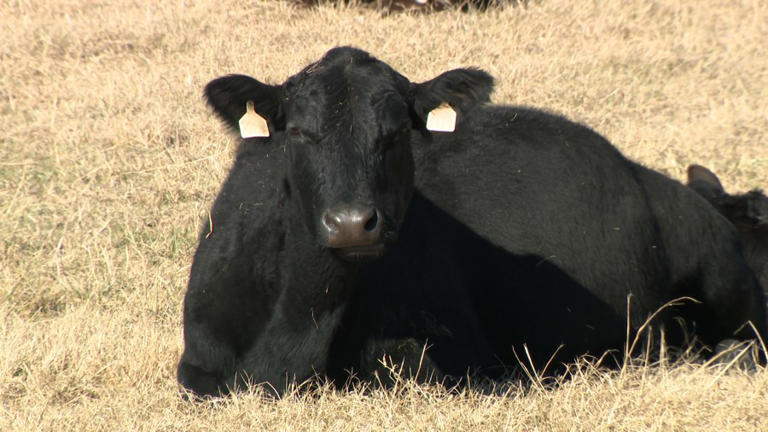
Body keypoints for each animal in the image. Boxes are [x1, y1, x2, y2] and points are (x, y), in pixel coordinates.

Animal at [178, 46, 766, 398]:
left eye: (398, 131)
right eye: (299, 132)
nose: (351, 223)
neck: (294, 332)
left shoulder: (467, 358)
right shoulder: (198, 364)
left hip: (726, 277)